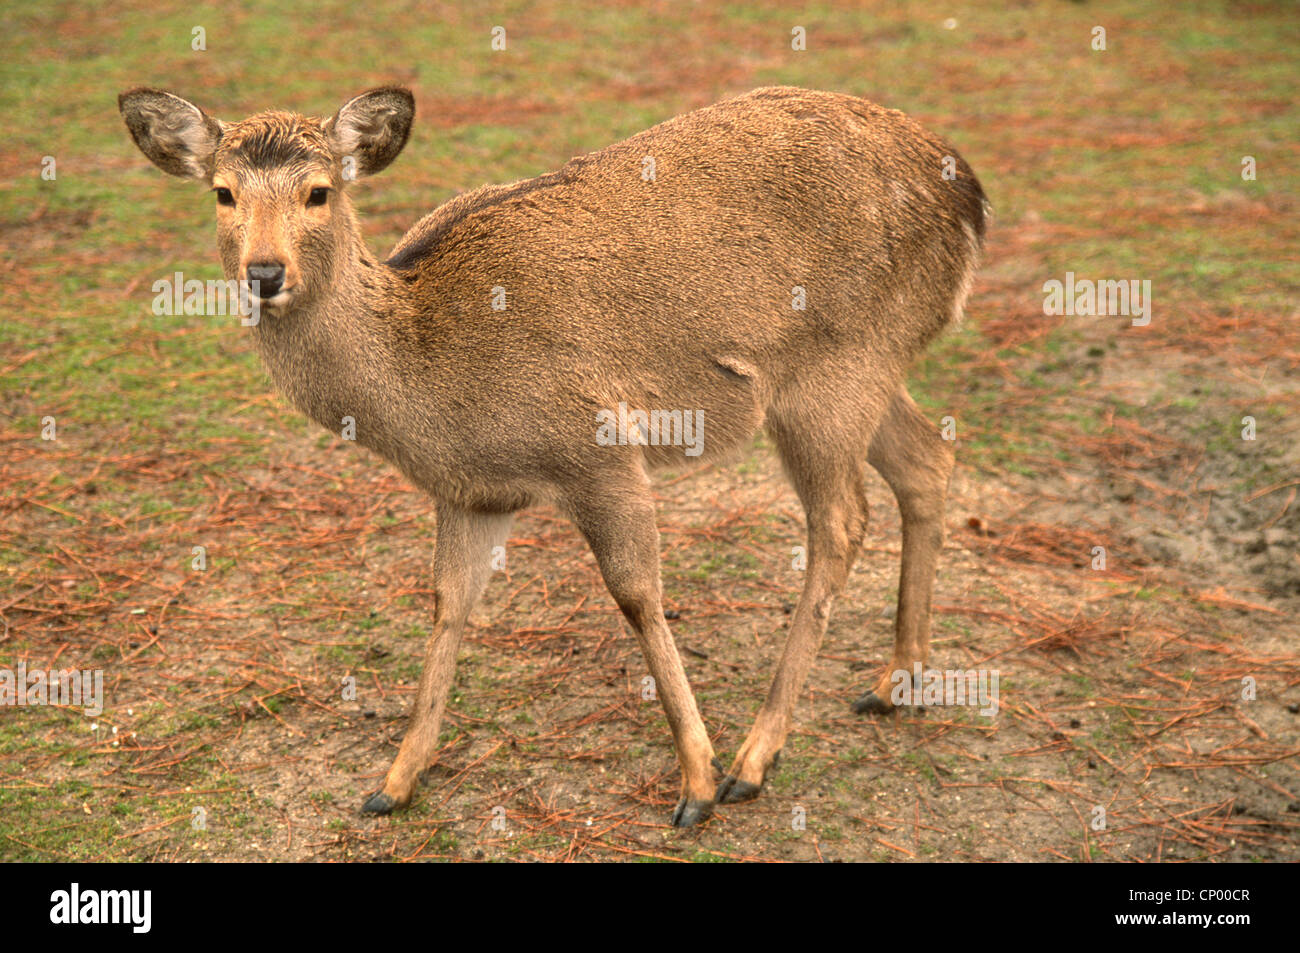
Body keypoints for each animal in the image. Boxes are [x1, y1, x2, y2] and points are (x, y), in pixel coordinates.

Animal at [118, 84, 987, 827]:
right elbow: (449, 602)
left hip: (832, 373)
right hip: (865, 368)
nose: (264, 274)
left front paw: (695, 783)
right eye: (223, 192)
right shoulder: (472, 492)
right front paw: (392, 781)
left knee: (841, 521)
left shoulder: (596, 448)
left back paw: (753, 757)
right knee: (927, 462)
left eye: (319, 192)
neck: (428, 378)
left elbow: (637, 594)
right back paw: (896, 680)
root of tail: (969, 195)